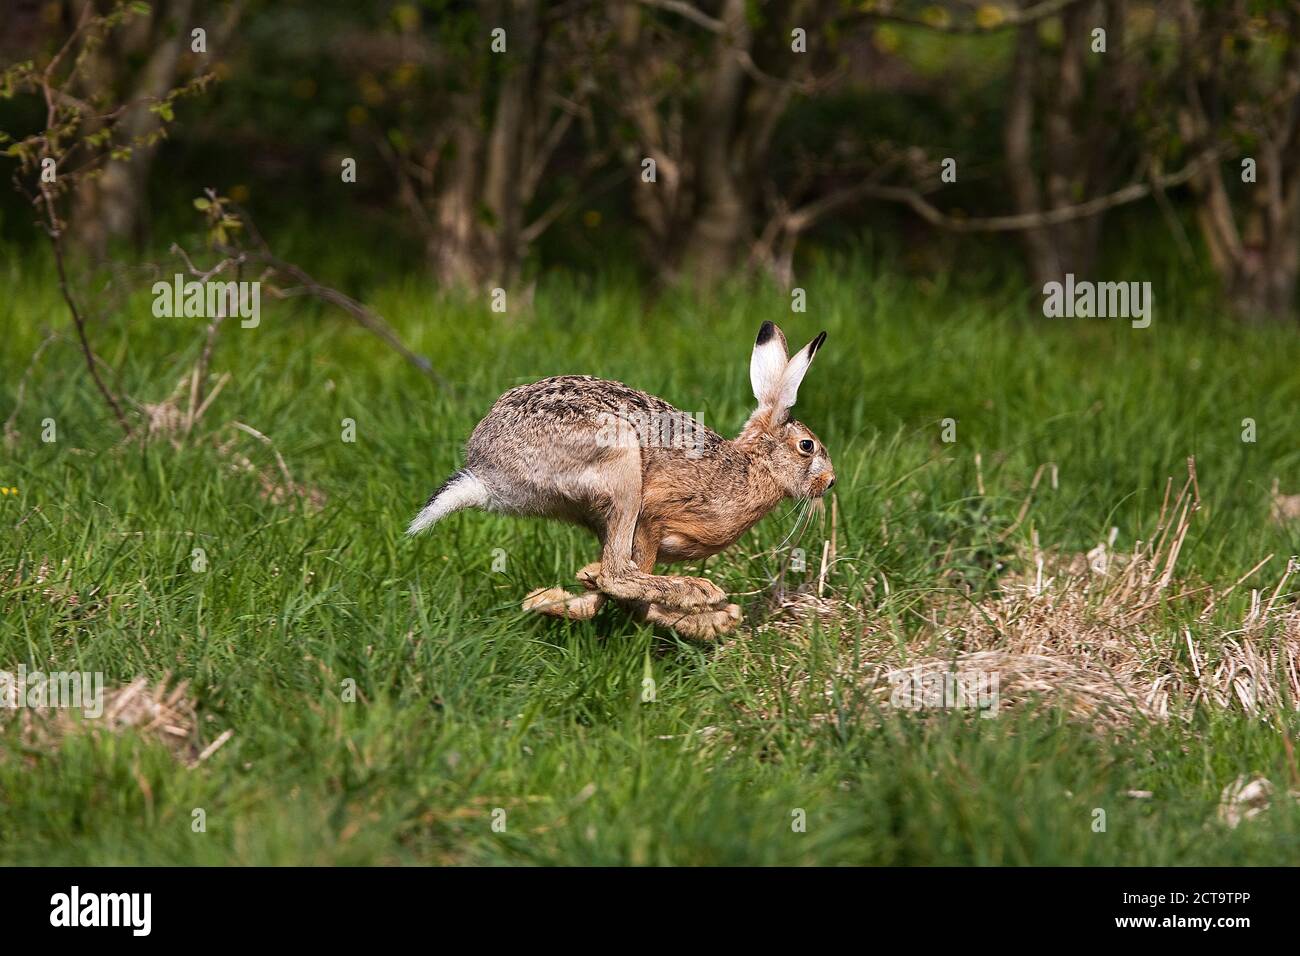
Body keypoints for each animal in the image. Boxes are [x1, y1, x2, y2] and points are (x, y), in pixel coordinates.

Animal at [406, 321, 833, 639]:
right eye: (807, 446)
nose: (830, 482)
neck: (752, 466)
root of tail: (486, 472)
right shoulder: (654, 518)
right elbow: (629, 590)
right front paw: (715, 616)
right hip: (621, 465)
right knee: (617, 576)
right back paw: (700, 594)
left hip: (597, 510)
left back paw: (546, 599)